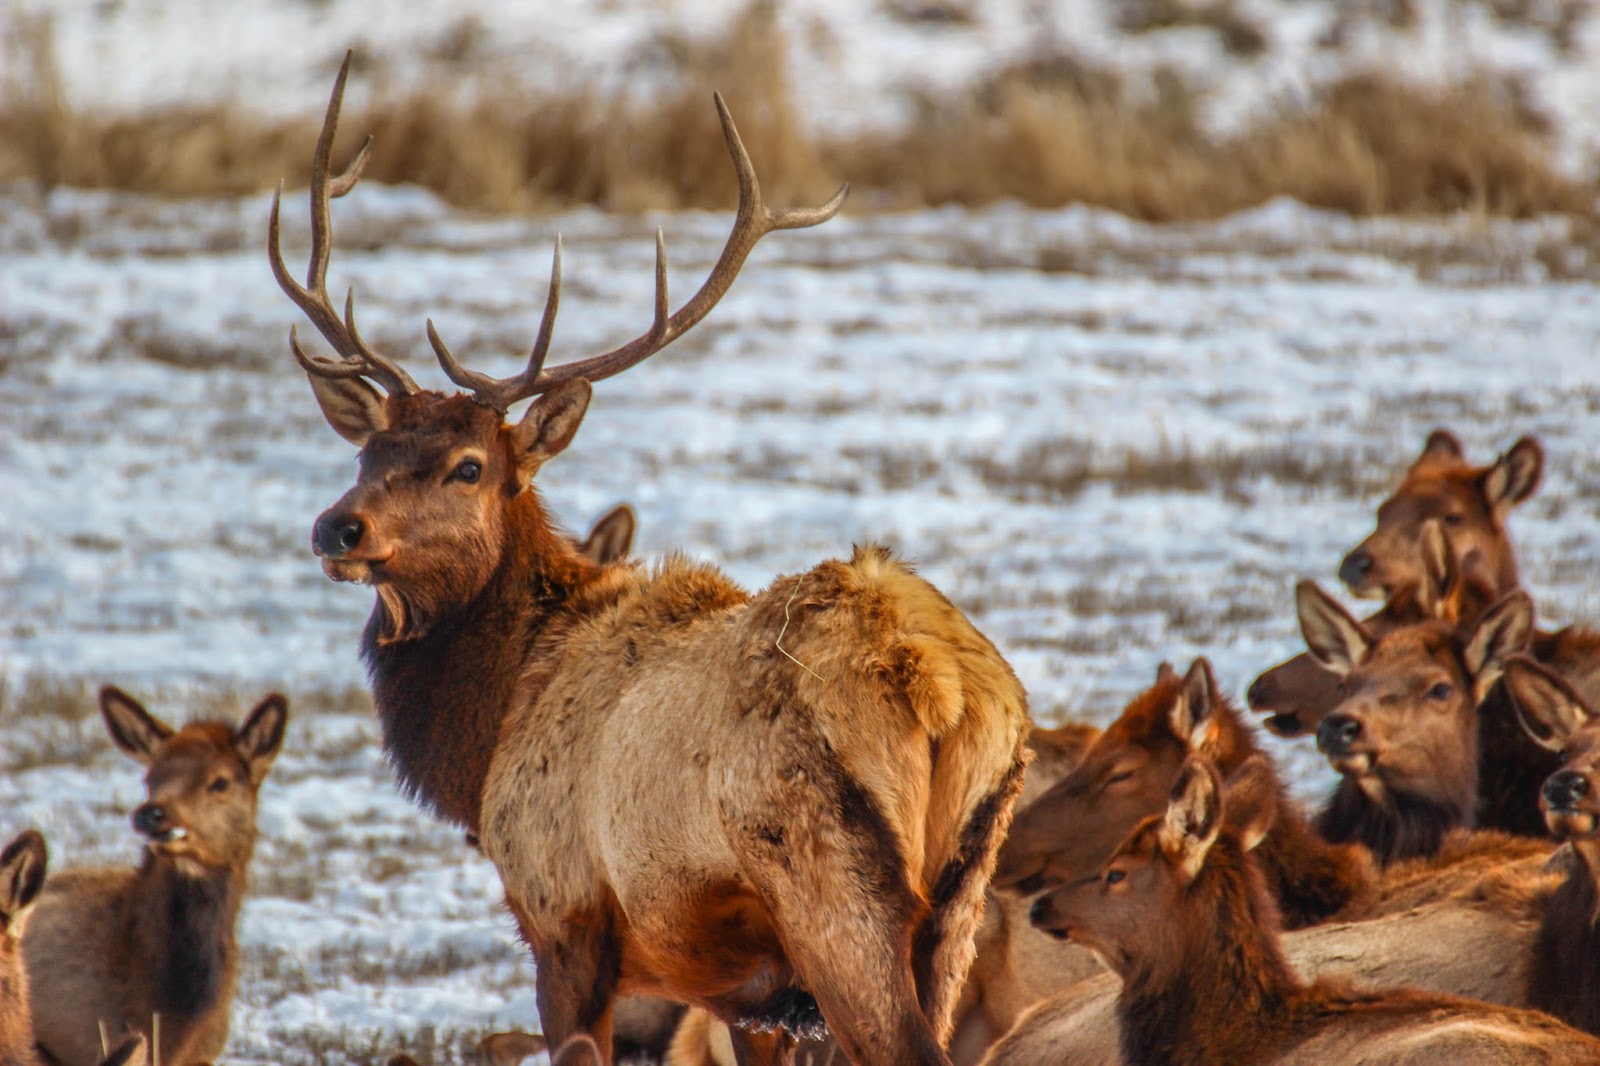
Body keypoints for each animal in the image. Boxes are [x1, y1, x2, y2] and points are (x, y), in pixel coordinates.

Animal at [269, 55, 1029, 1066]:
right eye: (369, 451)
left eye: (470, 466)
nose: (337, 529)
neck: (494, 725)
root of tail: (945, 693)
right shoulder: (752, 994)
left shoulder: (564, 917)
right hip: (960, 900)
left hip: (833, 889)